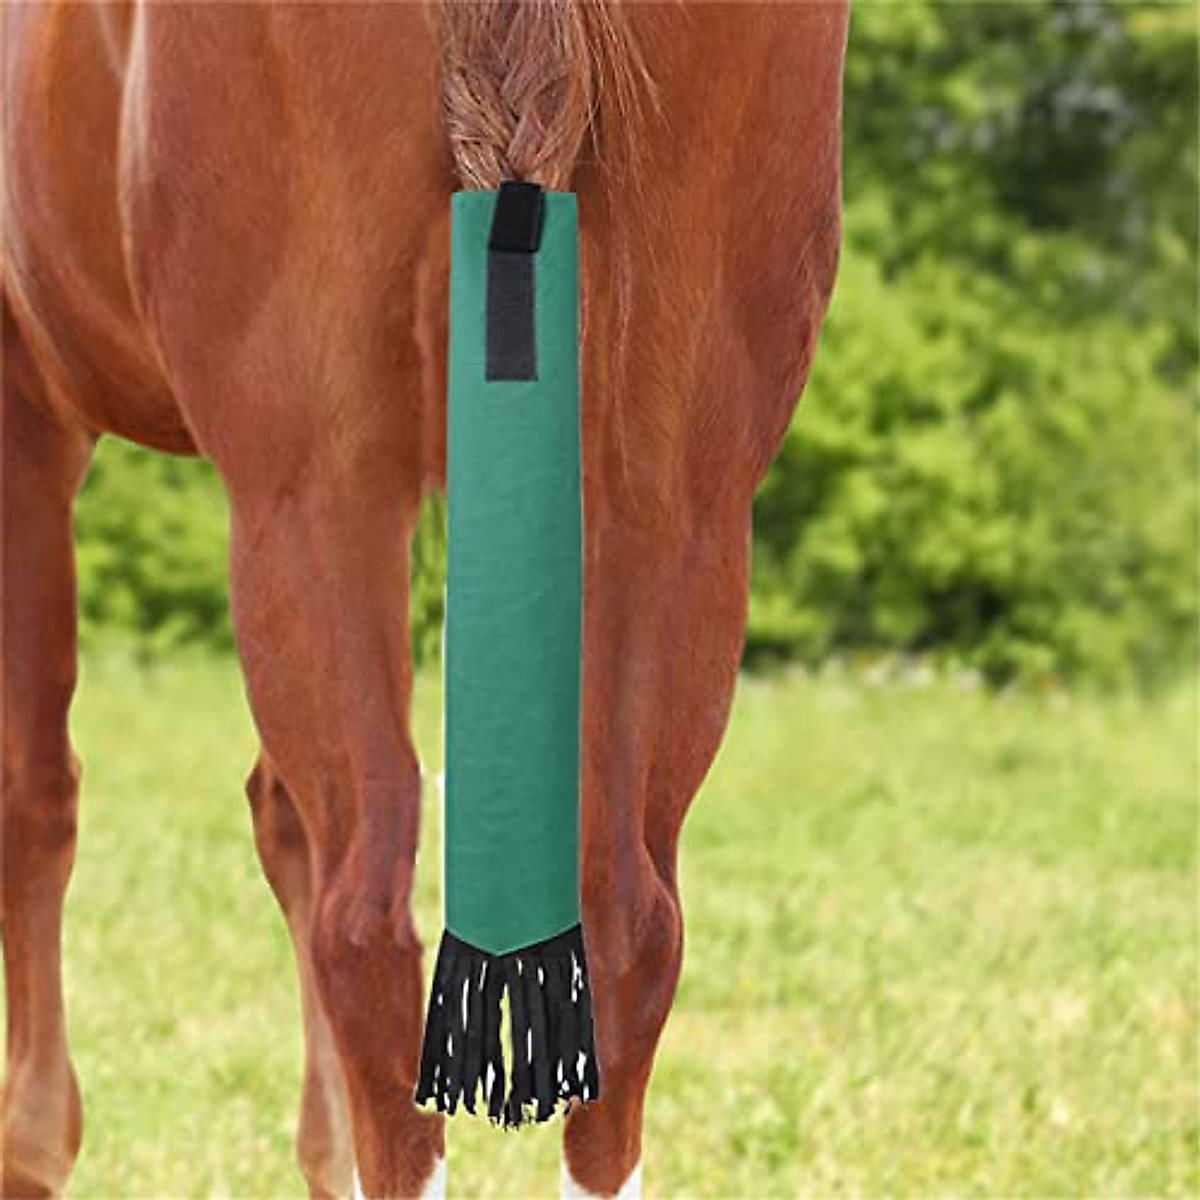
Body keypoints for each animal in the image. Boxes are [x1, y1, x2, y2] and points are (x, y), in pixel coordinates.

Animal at [1, 2, 847, 1195]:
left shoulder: (27, 405)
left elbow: (34, 800)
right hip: (676, 504)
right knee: (624, 927)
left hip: (316, 490)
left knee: (364, 930)